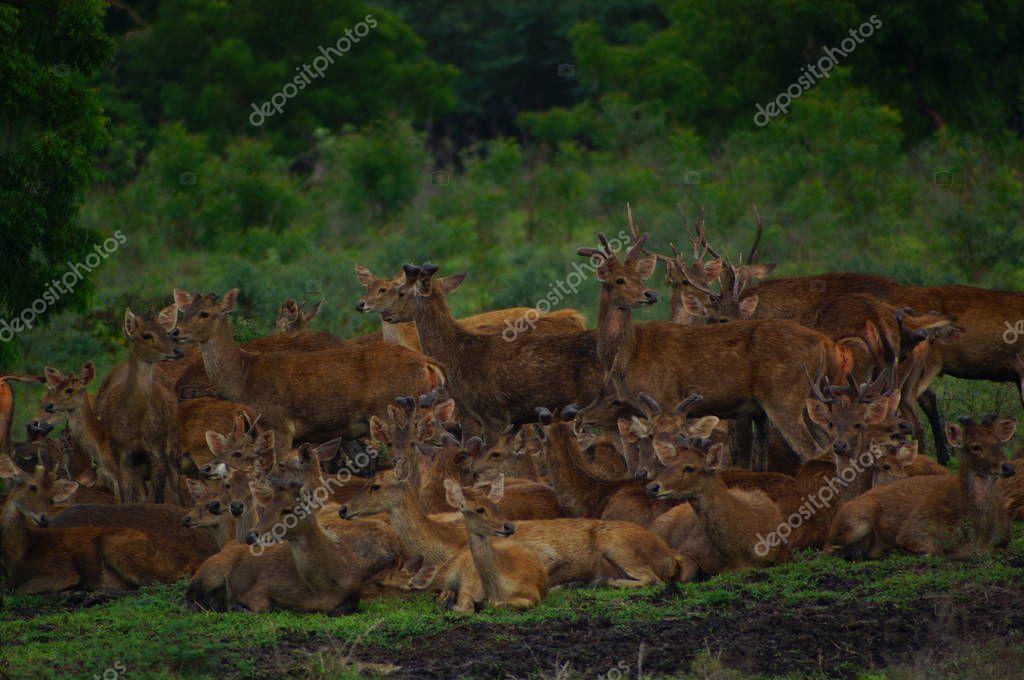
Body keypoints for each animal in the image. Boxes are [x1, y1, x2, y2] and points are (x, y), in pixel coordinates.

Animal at [171, 288, 446, 448]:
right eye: (185, 311)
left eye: (205, 313)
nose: (175, 331)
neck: (243, 378)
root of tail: (429, 364)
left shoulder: (277, 424)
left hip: (391, 409)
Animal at [825, 414, 1016, 559]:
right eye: (975, 446)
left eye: (1000, 443)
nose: (1008, 467)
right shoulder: (914, 530)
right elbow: (933, 550)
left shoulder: (1005, 537)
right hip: (854, 522)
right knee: (828, 548)